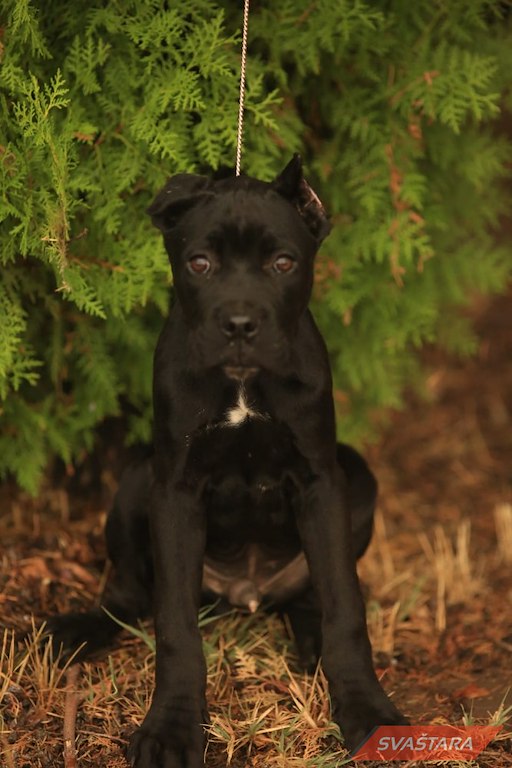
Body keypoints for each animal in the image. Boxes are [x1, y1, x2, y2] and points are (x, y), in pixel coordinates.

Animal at [48, 154, 408, 760]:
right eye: (200, 262)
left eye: (284, 262)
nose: (240, 325)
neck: (243, 384)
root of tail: (246, 593)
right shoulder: (175, 489)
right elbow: (174, 623)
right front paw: (170, 728)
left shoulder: (320, 481)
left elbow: (345, 605)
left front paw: (366, 709)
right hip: (136, 481)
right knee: (128, 594)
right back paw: (81, 630)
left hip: (358, 478)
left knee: (310, 596)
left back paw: (311, 644)